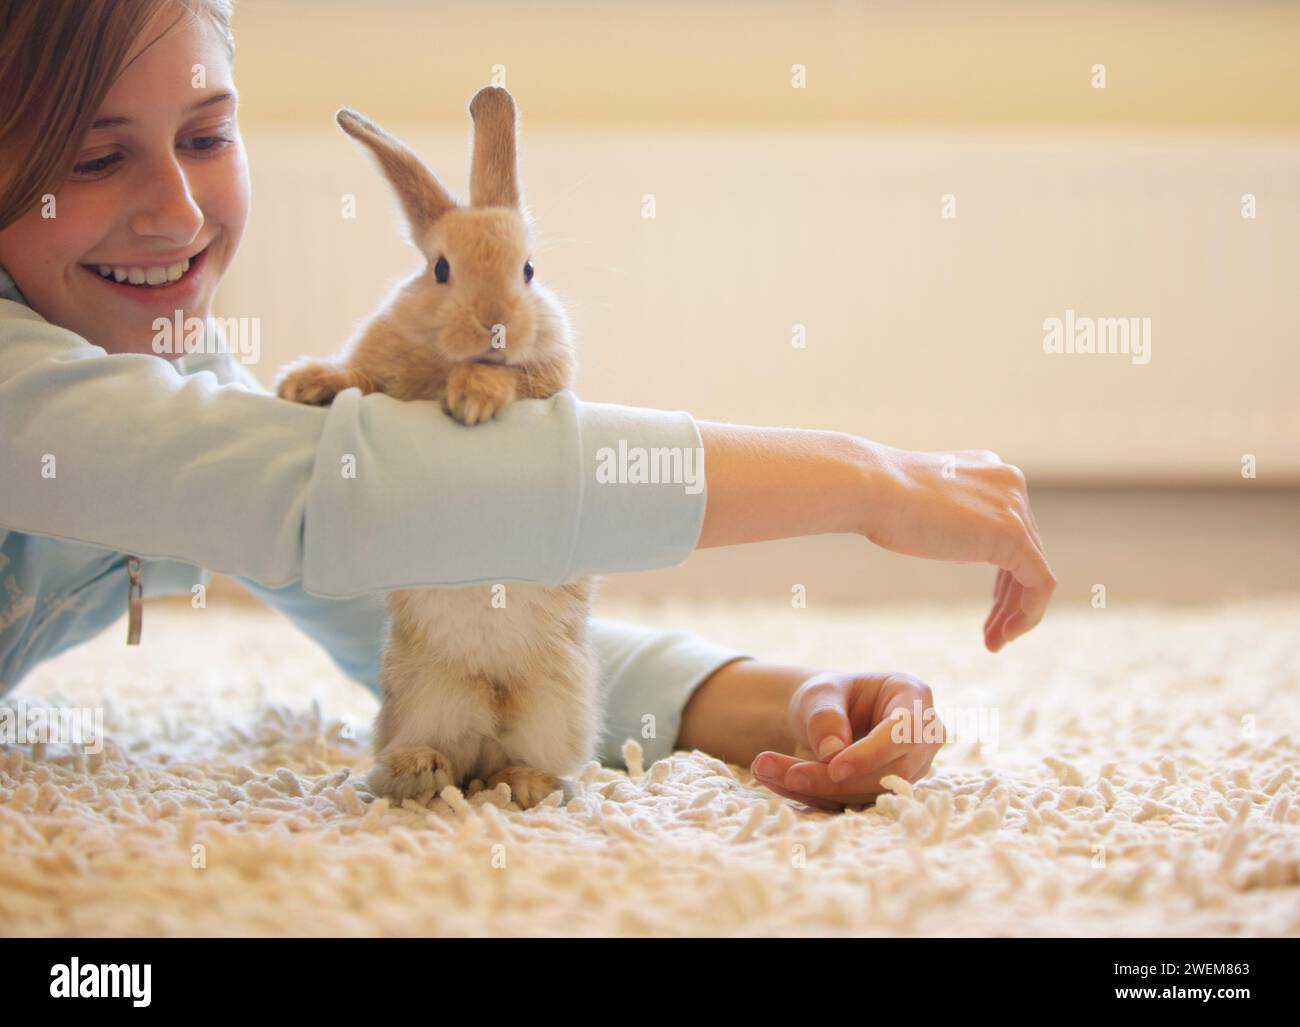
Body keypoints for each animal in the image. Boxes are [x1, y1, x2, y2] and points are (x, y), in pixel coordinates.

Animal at [274, 87, 600, 811]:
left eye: (528, 269)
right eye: (440, 268)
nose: (495, 325)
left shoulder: (546, 377)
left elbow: (512, 380)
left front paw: (473, 395)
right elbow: (360, 378)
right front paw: (305, 383)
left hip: (556, 702)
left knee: (530, 759)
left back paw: (521, 784)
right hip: (426, 692)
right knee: (445, 754)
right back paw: (418, 773)